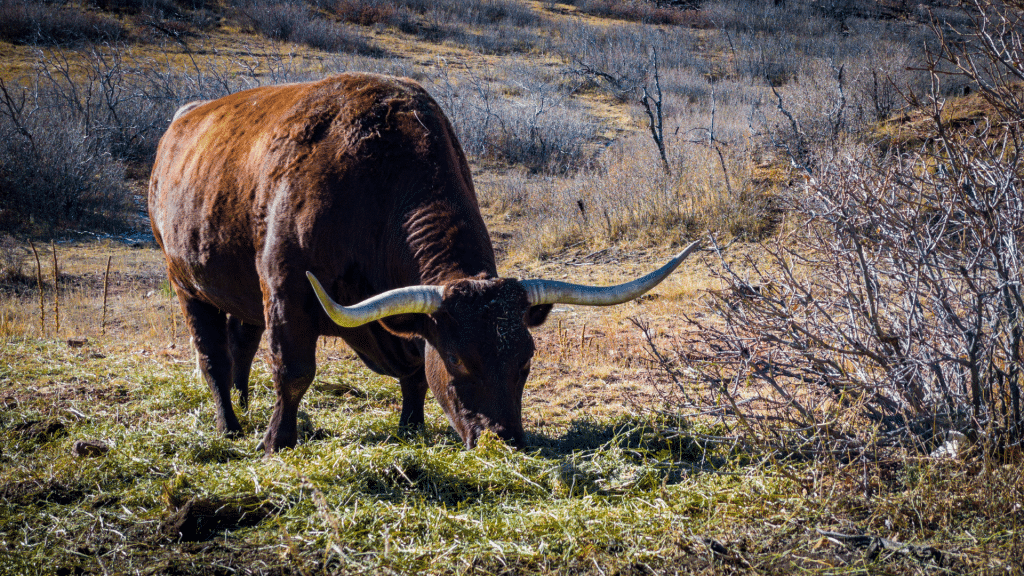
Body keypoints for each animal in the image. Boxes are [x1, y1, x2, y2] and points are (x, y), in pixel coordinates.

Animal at [148, 73, 700, 454]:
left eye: (526, 361)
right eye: (457, 361)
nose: (505, 440)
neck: (376, 182)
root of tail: (181, 120)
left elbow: (413, 370)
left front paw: (410, 428)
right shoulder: (286, 291)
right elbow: (293, 371)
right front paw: (275, 442)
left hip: (238, 290)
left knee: (239, 343)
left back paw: (243, 404)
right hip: (185, 282)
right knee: (213, 356)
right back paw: (230, 425)